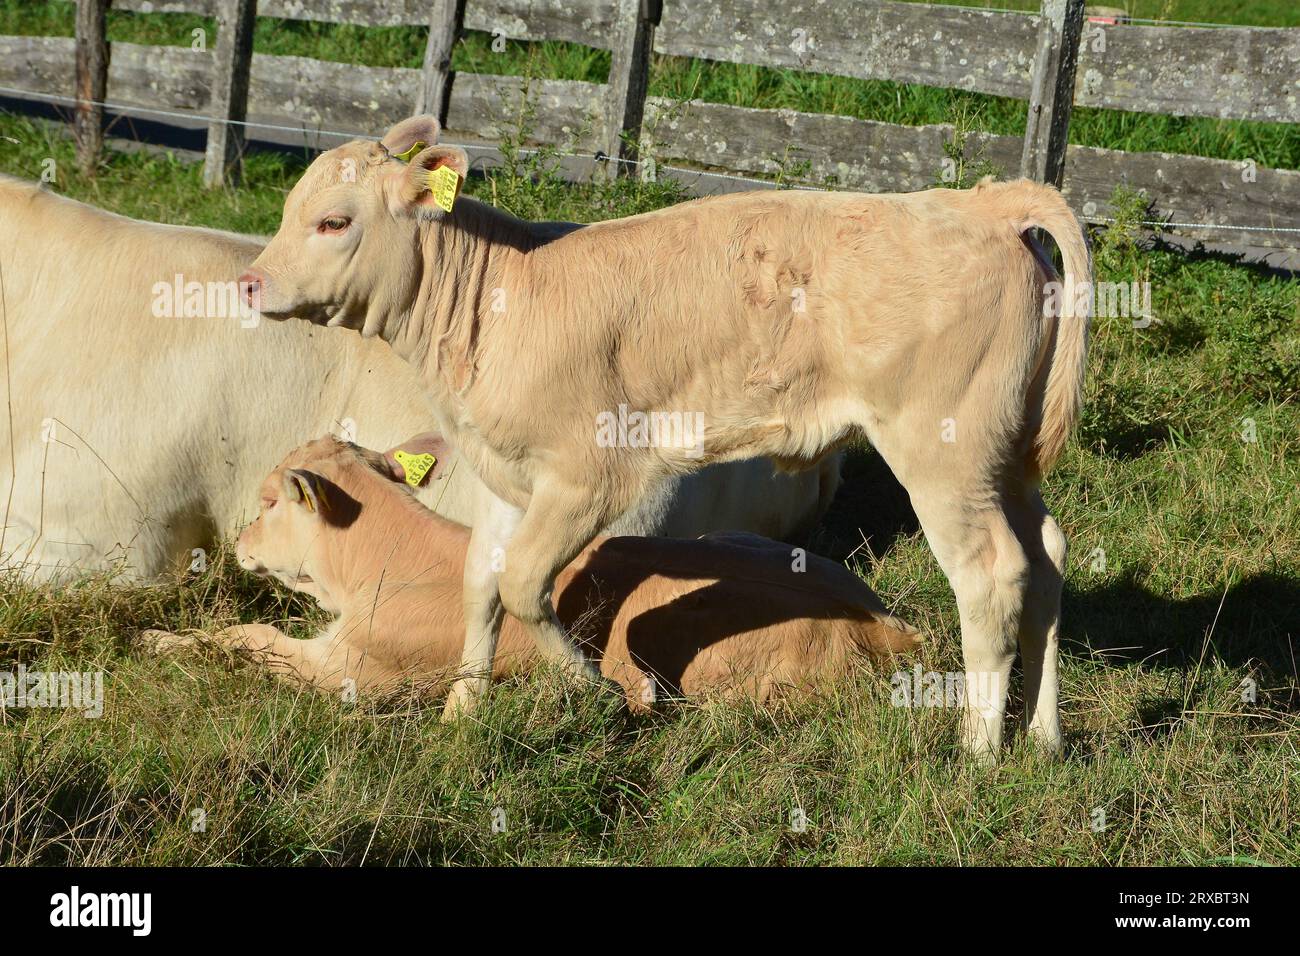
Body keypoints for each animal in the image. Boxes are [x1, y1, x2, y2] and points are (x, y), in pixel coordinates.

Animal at [142, 435, 919, 702]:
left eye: (269, 499)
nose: (240, 543)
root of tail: (885, 623)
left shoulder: (350, 670)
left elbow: (249, 638)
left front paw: (157, 641)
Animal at [240, 115, 1091, 760]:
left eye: (334, 220)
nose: (248, 283)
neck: (500, 300)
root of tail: (979, 206)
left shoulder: (590, 474)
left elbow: (524, 584)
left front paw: (594, 688)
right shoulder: (505, 473)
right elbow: (483, 582)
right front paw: (463, 712)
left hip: (944, 452)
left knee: (991, 575)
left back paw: (978, 750)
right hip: (1005, 455)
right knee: (1047, 556)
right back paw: (1042, 737)